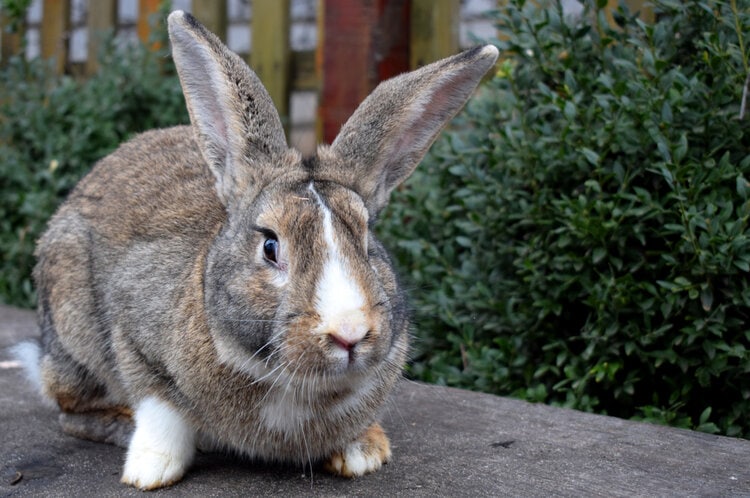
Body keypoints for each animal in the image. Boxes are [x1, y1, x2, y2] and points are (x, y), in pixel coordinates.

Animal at [21, 10, 499, 490]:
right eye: (270, 246)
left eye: (367, 241)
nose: (349, 333)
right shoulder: (134, 335)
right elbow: (160, 407)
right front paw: (150, 470)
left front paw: (363, 454)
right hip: (74, 324)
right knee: (72, 412)